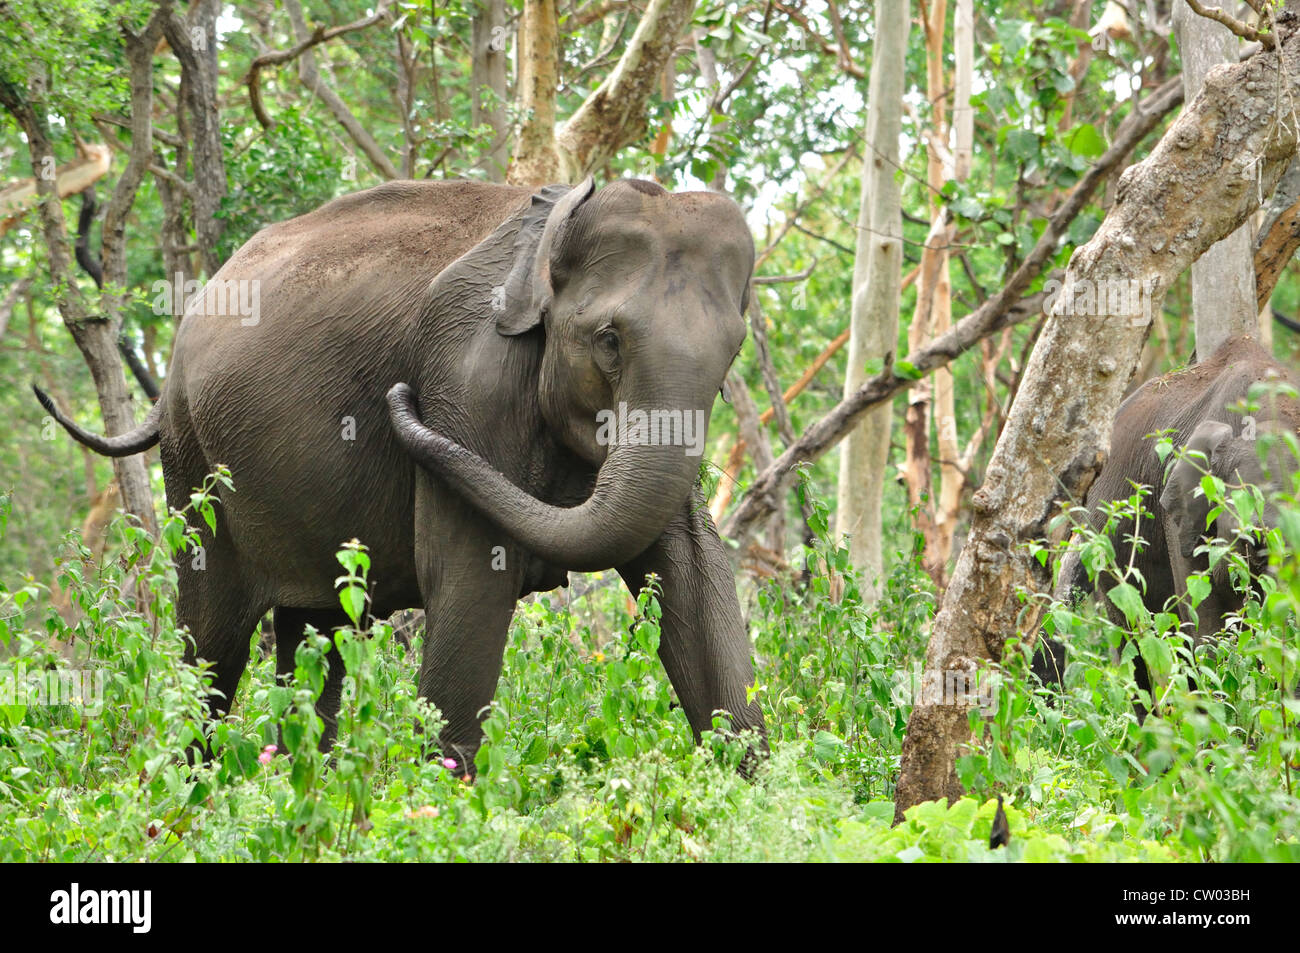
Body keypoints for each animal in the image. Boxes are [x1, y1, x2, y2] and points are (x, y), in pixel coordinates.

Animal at [35, 176, 768, 770]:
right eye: (609, 341)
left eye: (733, 353)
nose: (398, 397)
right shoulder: (467, 381)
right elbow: (470, 581)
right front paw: (440, 805)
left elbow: (692, 570)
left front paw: (752, 788)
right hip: (194, 461)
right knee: (213, 639)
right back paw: (199, 792)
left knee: (313, 637)